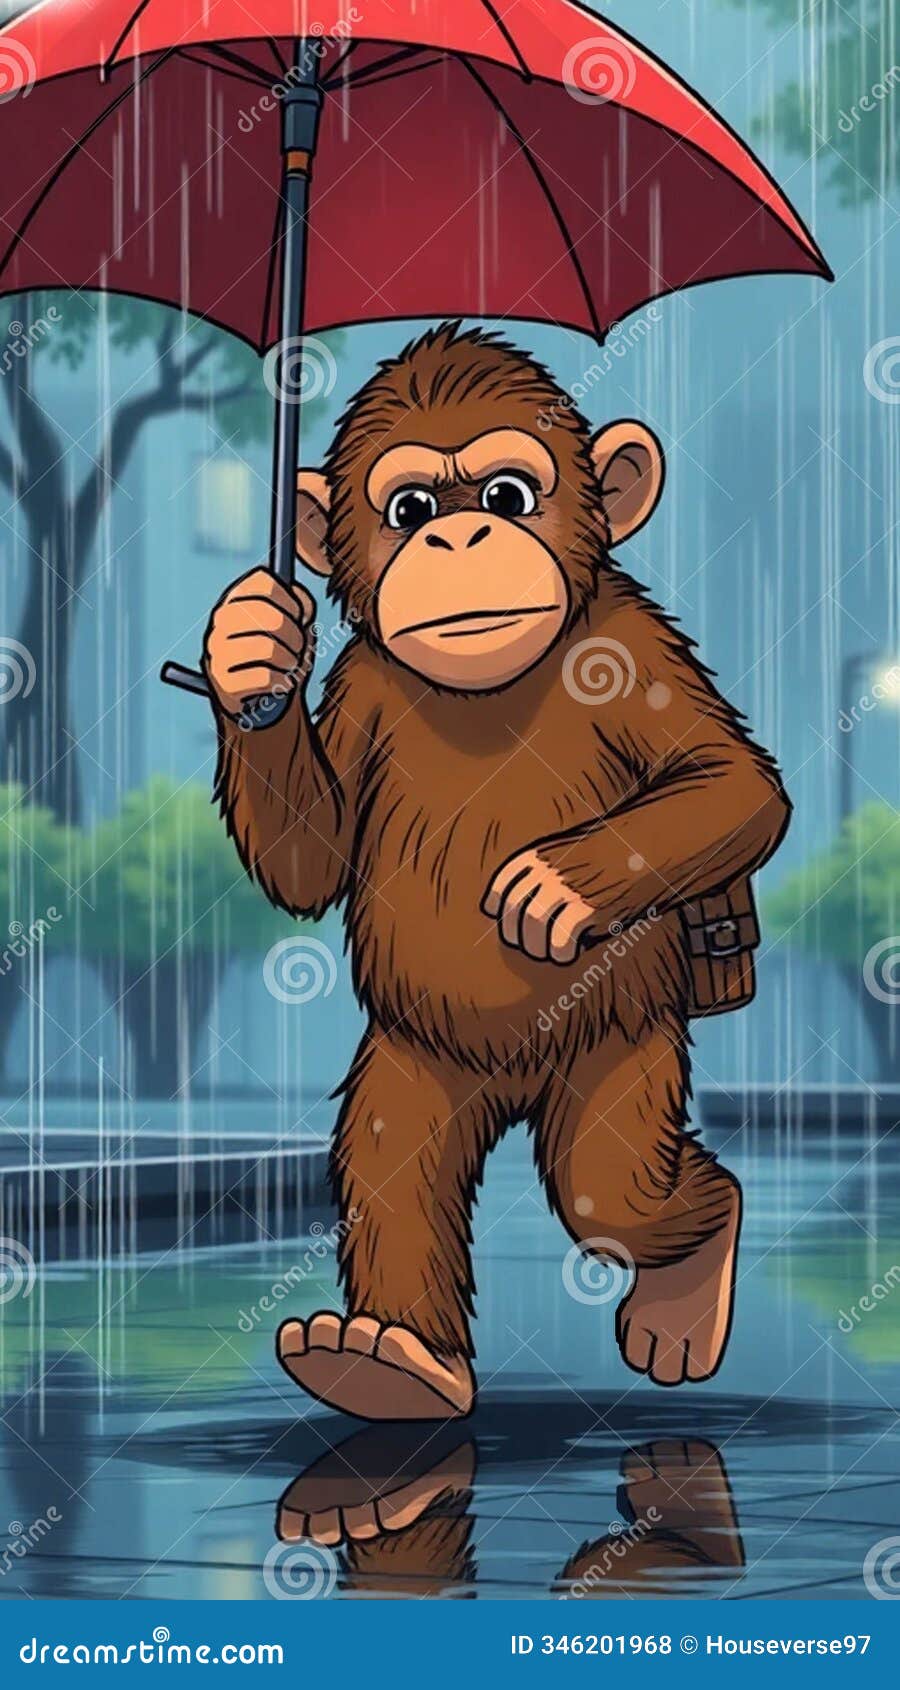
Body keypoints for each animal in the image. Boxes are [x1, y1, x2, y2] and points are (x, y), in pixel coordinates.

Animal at [204, 322, 789, 1421]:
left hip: (626, 1043)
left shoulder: (635, 644)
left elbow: (738, 788)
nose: (458, 542)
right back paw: (390, 1363)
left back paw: (687, 1288)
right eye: (410, 511)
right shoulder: (358, 685)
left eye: (509, 495)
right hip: (420, 1060)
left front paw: (553, 887)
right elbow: (313, 863)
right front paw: (248, 653)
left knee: (617, 1190)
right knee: (390, 1165)